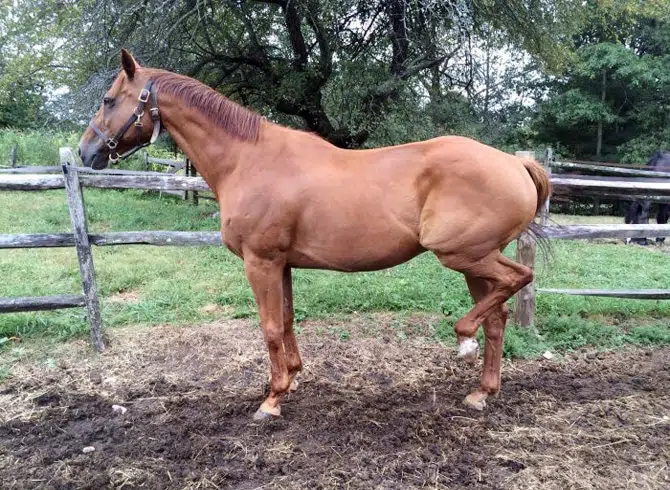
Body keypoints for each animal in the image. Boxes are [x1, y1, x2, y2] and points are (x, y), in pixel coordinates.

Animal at [78, 50, 551, 420]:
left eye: (108, 99)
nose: (86, 151)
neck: (248, 159)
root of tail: (514, 163)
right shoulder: (282, 264)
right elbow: (287, 321)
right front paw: (293, 378)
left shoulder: (261, 262)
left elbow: (270, 327)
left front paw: (271, 400)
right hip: (474, 260)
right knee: (498, 318)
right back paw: (480, 392)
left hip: (463, 254)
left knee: (517, 281)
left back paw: (464, 339)